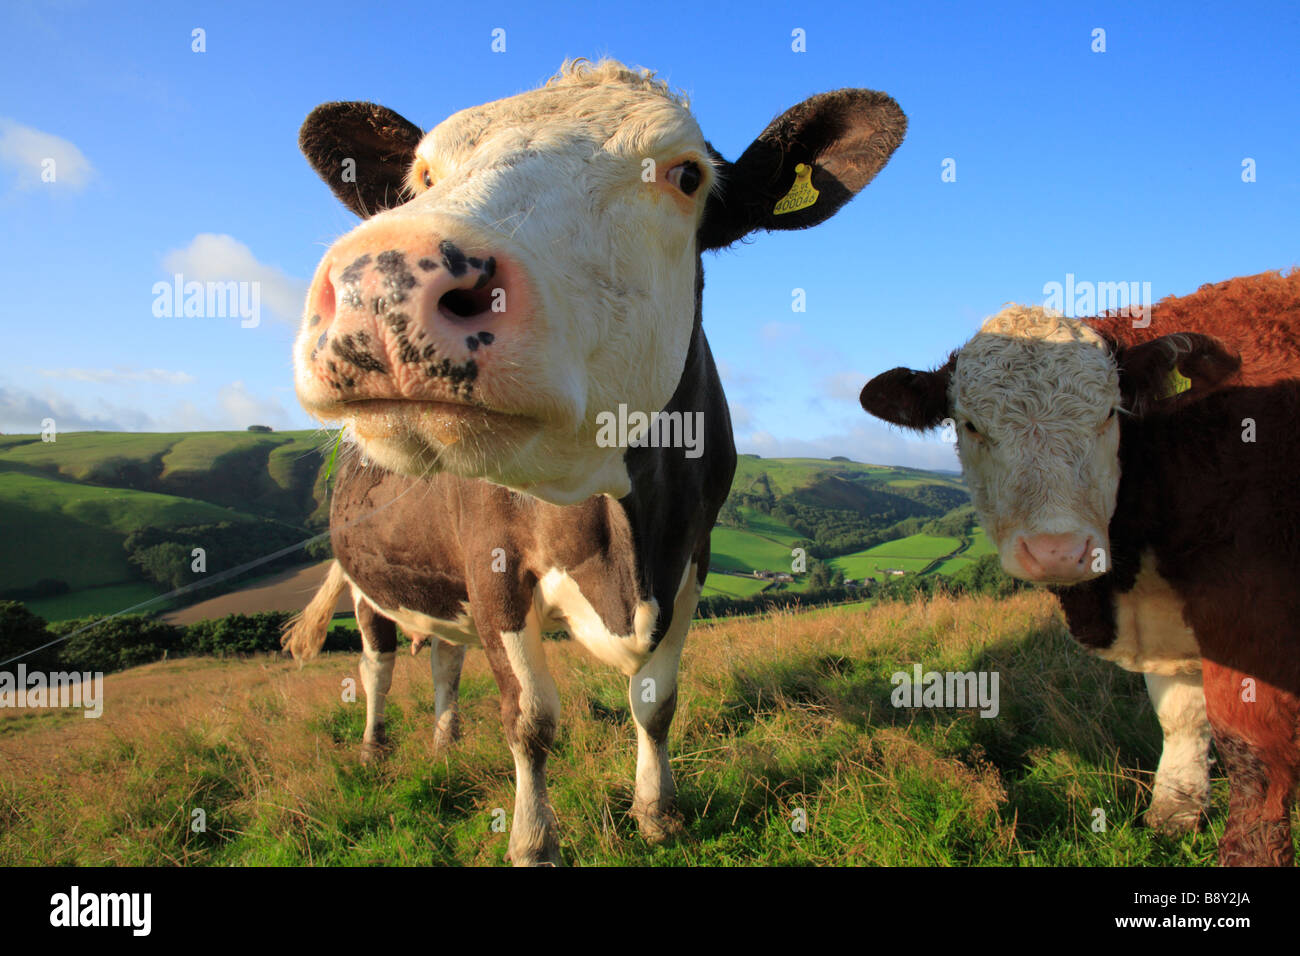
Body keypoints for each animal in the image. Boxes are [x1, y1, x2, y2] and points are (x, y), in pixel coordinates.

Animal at [281, 59, 906, 865]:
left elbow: (656, 702)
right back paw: (373, 748)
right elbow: (530, 719)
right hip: (367, 584)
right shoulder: (492, 563)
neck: (625, 535)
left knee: (443, 655)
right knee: (378, 665)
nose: (384, 277)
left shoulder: (692, 555)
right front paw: (532, 840)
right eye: (422, 175)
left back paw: (444, 745)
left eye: (685, 175)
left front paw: (656, 811)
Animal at [858, 270, 1300, 865]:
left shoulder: (1249, 607)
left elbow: (1250, 748)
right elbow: (1182, 716)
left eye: (1110, 414)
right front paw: (1173, 814)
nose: (1057, 551)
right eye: (969, 425)